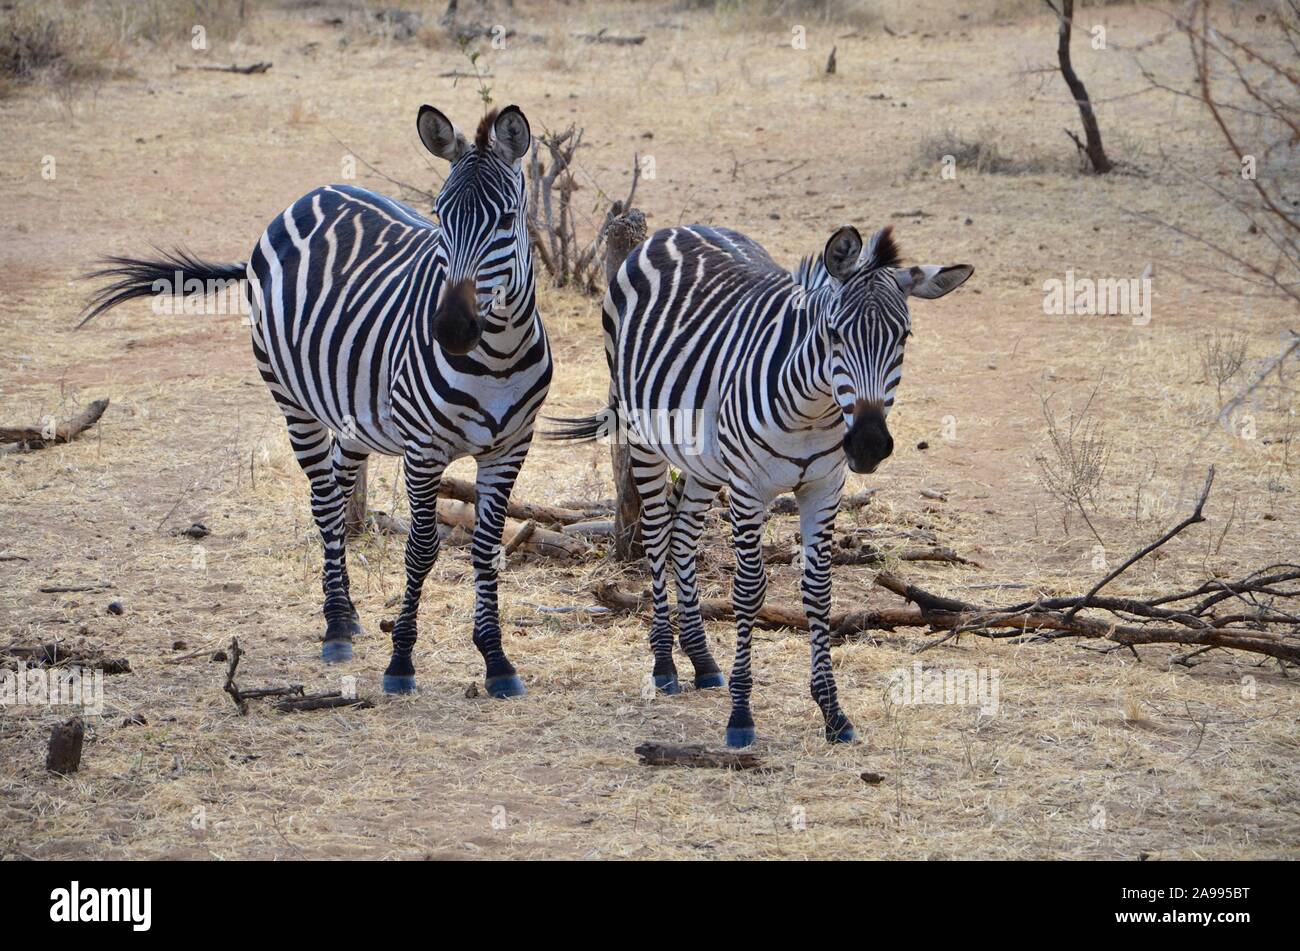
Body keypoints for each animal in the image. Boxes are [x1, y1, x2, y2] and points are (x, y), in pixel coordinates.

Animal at [82, 105, 551, 699]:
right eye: (440, 216)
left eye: (507, 219)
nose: (449, 328)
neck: (497, 355)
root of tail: (310, 195)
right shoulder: (423, 451)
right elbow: (421, 549)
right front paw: (401, 661)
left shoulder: (510, 449)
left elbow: (487, 550)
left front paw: (495, 659)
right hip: (292, 402)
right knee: (324, 502)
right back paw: (335, 628)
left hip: (350, 418)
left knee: (337, 494)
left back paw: (347, 612)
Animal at [549, 224, 971, 746]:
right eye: (834, 334)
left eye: (903, 337)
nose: (869, 444)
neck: (814, 409)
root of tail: (676, 230)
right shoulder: (749, 489)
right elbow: (749, 590)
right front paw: (741, 714)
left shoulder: (824, 488)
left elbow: (819, 591)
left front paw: (833, 712)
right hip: (641, 434)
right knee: (657, 535)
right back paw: (665, 663)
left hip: (704, 460)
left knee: (683, 538)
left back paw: (702, 660)